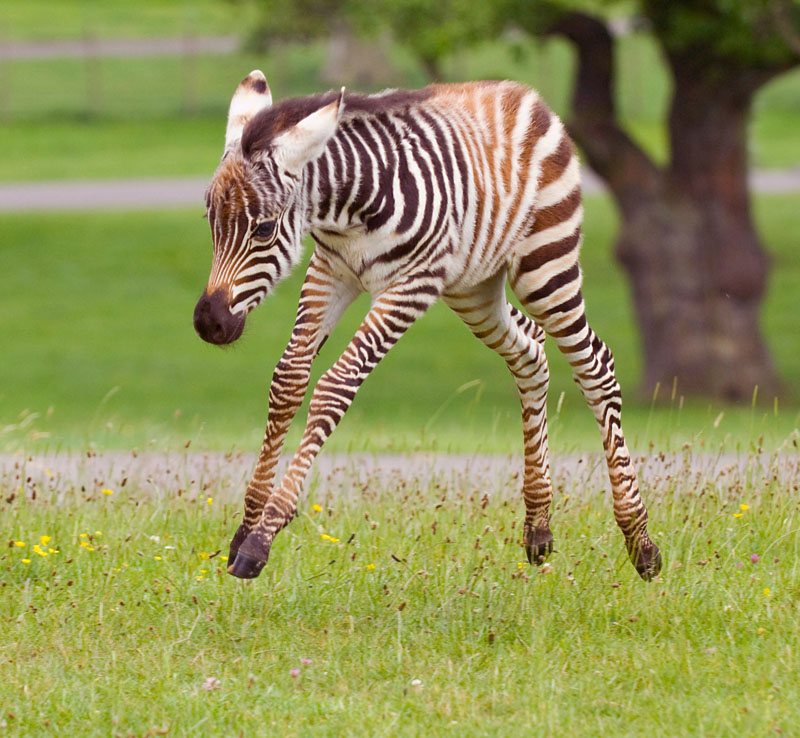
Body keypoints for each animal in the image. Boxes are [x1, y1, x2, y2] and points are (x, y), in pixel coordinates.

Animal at [194, 70, 662, 582]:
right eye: (210, 220)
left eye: (263, 229)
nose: (209, 323)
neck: (348, 212)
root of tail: (524, 94)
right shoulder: (329, 271)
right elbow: (289, 380)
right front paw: (246, 527)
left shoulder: (410, 285)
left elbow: (334, 386)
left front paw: (262, 539)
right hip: (473, 289)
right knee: (530, 352)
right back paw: (539, 526)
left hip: (545, 266)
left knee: (596, 366)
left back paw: (640, 542)